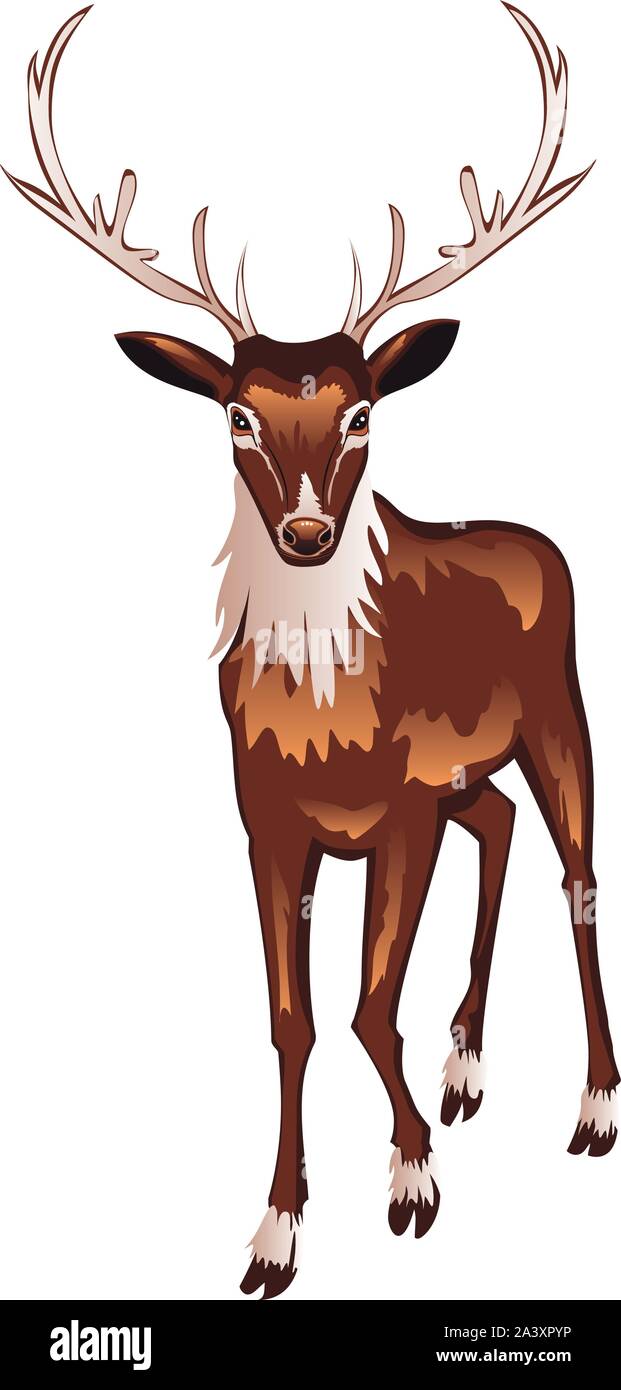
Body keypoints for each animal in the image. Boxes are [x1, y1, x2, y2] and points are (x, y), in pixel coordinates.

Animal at [4, 4, 618, 1301]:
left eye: (362, 411)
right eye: (237, 413)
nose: (304, 533)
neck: (323, 725)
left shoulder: (401, 807)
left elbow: (369, 1007)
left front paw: (412, 1180)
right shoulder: (265, 817)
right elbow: (294, 1017)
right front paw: (277, 1229)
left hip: (561, 711)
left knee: (578, 870)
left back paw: (592, 1105)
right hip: (470, 768)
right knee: (497, 825)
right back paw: (468, 1063)